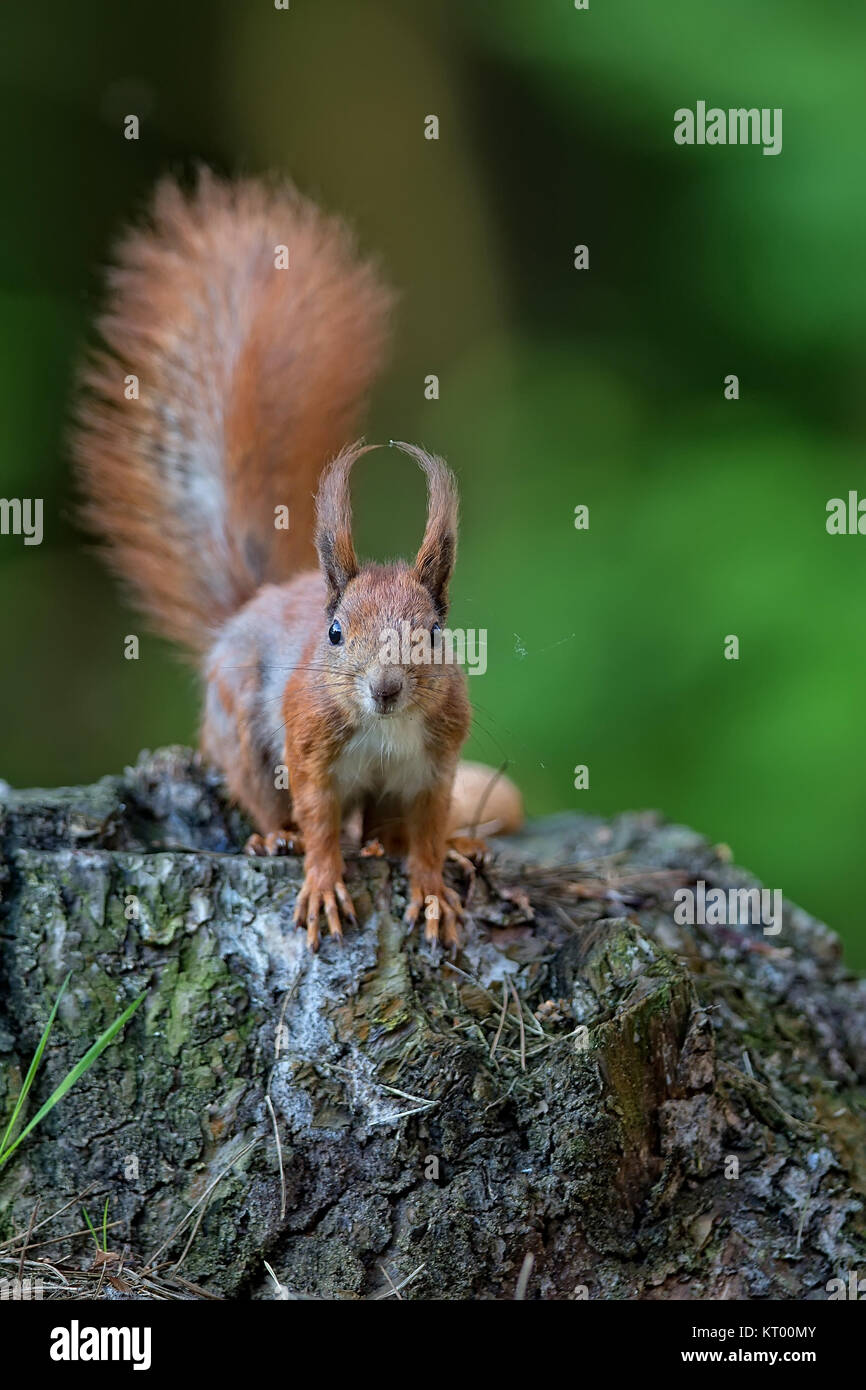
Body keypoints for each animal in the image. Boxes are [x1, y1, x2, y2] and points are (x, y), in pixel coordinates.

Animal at [73, 170, 478, 952]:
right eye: (334, 633)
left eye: (434, 634)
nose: (385, 690)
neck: (384, 729)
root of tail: (247, 609)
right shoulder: (308, 744)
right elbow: (319, 818)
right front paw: (320, 880)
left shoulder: (435, 764)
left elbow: (428, 828)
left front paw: (433, 886)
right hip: (237, 729)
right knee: (267, 801)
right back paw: (274, 840)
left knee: (382, 827)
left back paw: (410, 846)